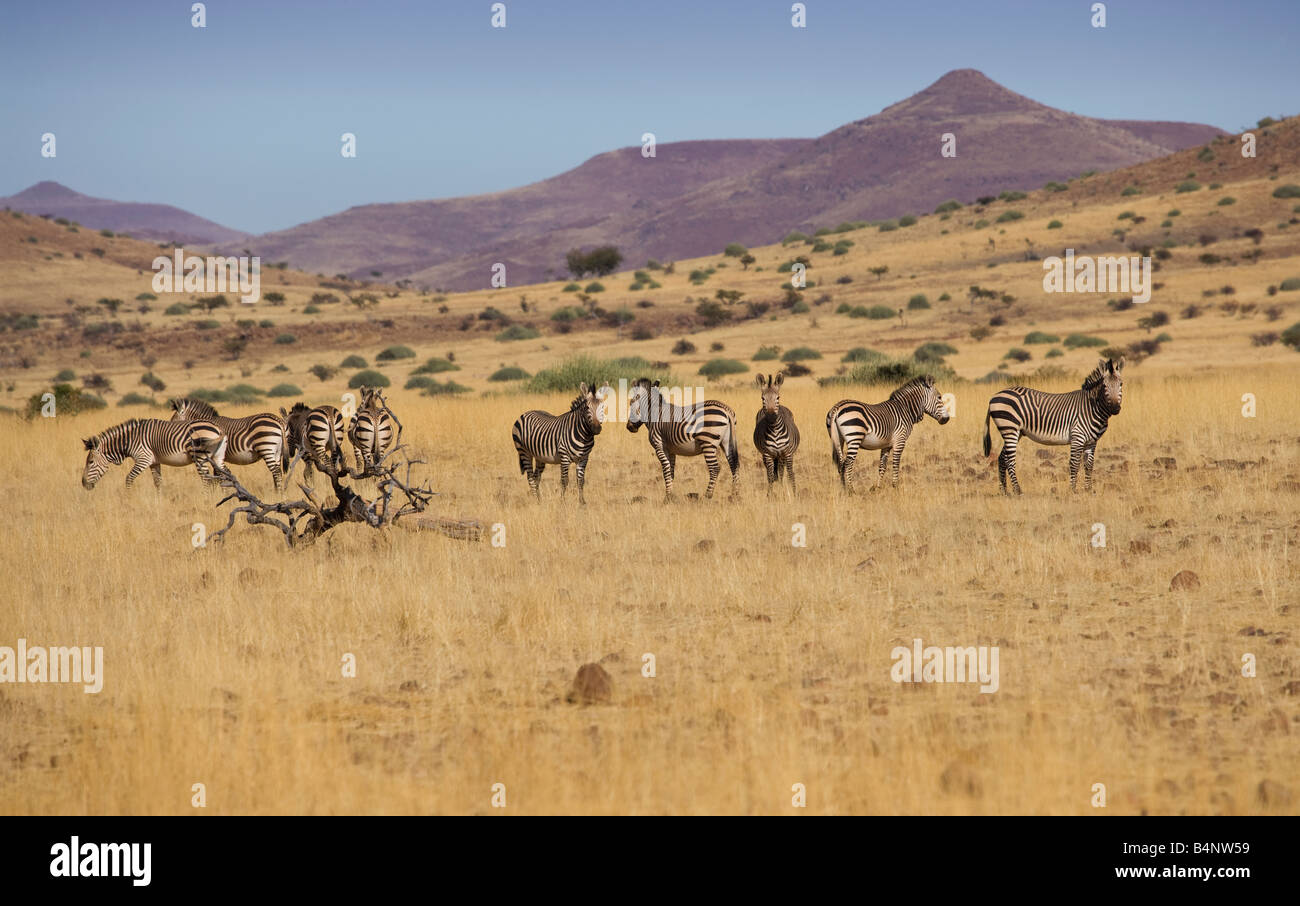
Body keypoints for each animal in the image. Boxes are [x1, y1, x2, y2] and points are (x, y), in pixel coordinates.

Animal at [81, 417, 223, 489]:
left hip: (199, 457)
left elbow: (129, 478)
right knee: (222, 475)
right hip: (217, 456)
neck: (130, 440)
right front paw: (159, 502)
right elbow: (158, 482)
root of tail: (218, 429)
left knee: (206, 479)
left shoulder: (143, 459)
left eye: (91, 462)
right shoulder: (154, 462)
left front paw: (128, 500)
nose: (84, 484)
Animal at [983, 357, 1124, 494]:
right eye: (1104, 385)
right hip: (1010, 428)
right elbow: (1074, 463)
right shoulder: (1077, 436)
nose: (1115, 408)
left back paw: (1004, 491)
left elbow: (1089, 465)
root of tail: (995, 396)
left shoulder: (1092, 441)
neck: (1092, 407)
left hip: (1015, 432)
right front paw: (1073, 490)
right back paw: (1018, 490)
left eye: (1121, 384)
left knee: (1002, 458)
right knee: (1009, 460)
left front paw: (1088, 490)